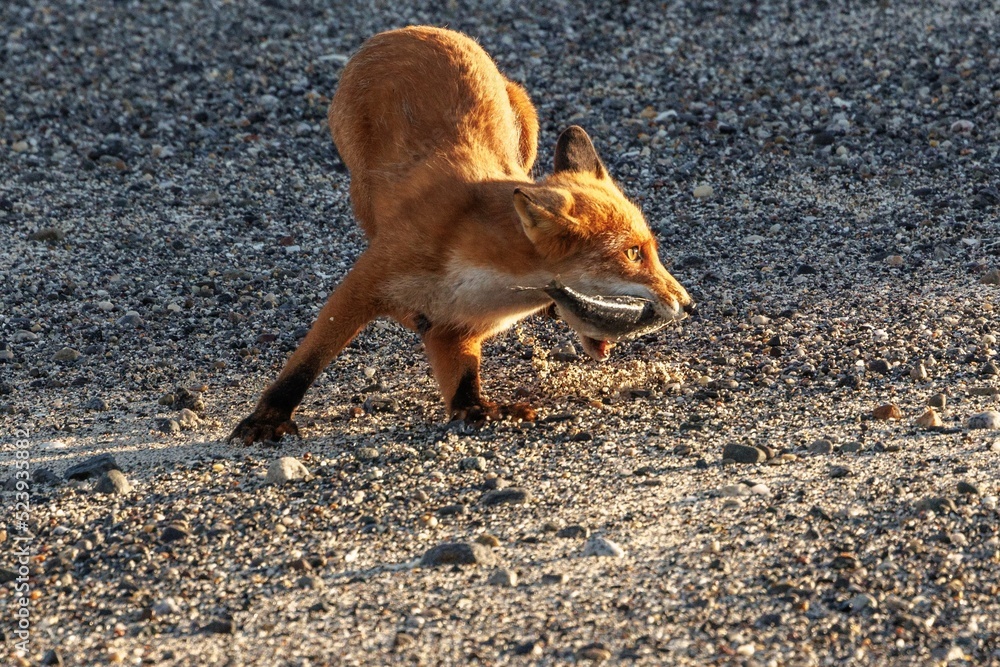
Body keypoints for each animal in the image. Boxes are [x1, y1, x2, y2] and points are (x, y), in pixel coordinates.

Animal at [229, 26, 694, 445]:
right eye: (633, 253)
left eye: (652, 250)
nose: (687, 303)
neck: (484, 274)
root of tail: (408, 31)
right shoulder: (366, 285)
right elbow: (307, 361)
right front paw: (267, 418)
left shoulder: (456, 326)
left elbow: (463, 381)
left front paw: (477, 409)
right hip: (361, 191)